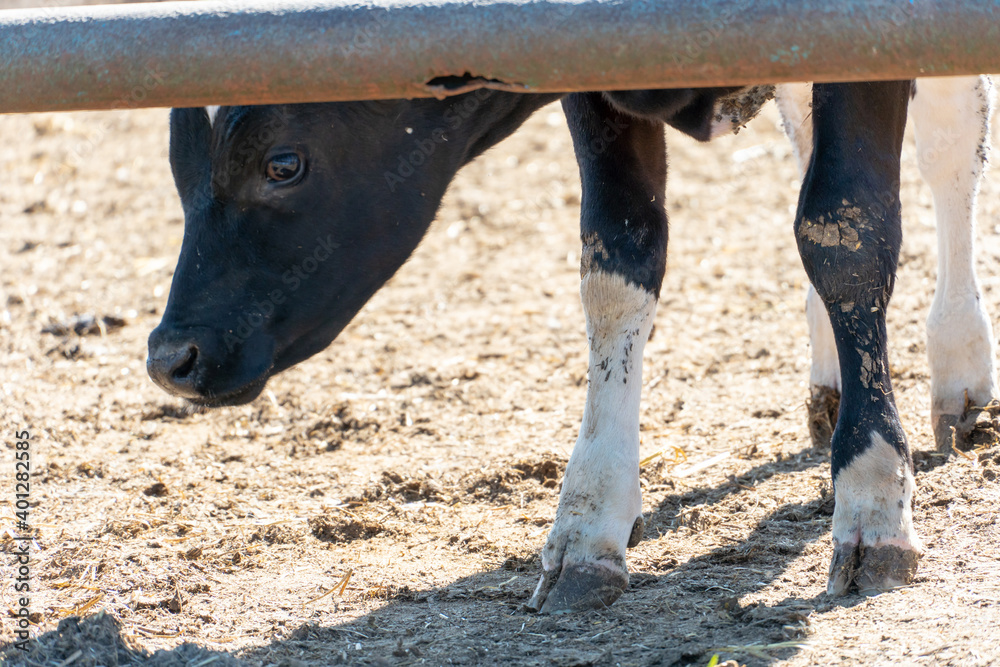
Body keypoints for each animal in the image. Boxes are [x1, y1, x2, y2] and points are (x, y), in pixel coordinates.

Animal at [148, 80, 921, 613]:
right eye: (178, 162)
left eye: (282, 164)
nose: (170, 358)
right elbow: (618, 257)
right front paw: (588, 524)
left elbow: (844, 230)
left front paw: (873, 498)